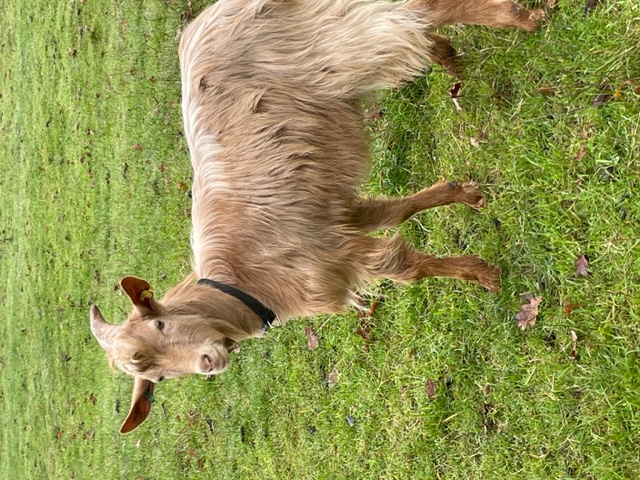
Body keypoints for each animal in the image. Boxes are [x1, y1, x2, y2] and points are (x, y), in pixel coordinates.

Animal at [90, 0, 545, 433]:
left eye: (160, 325)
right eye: (158, 379)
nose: (208, 363)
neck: (247, 285)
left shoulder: (334, 255)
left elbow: (406, 266)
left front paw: (483, 275)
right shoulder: (337, 219)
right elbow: (399, 211)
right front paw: (466, 195)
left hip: (330, 48)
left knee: (412, 14)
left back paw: (520, 20)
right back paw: (452, 59)